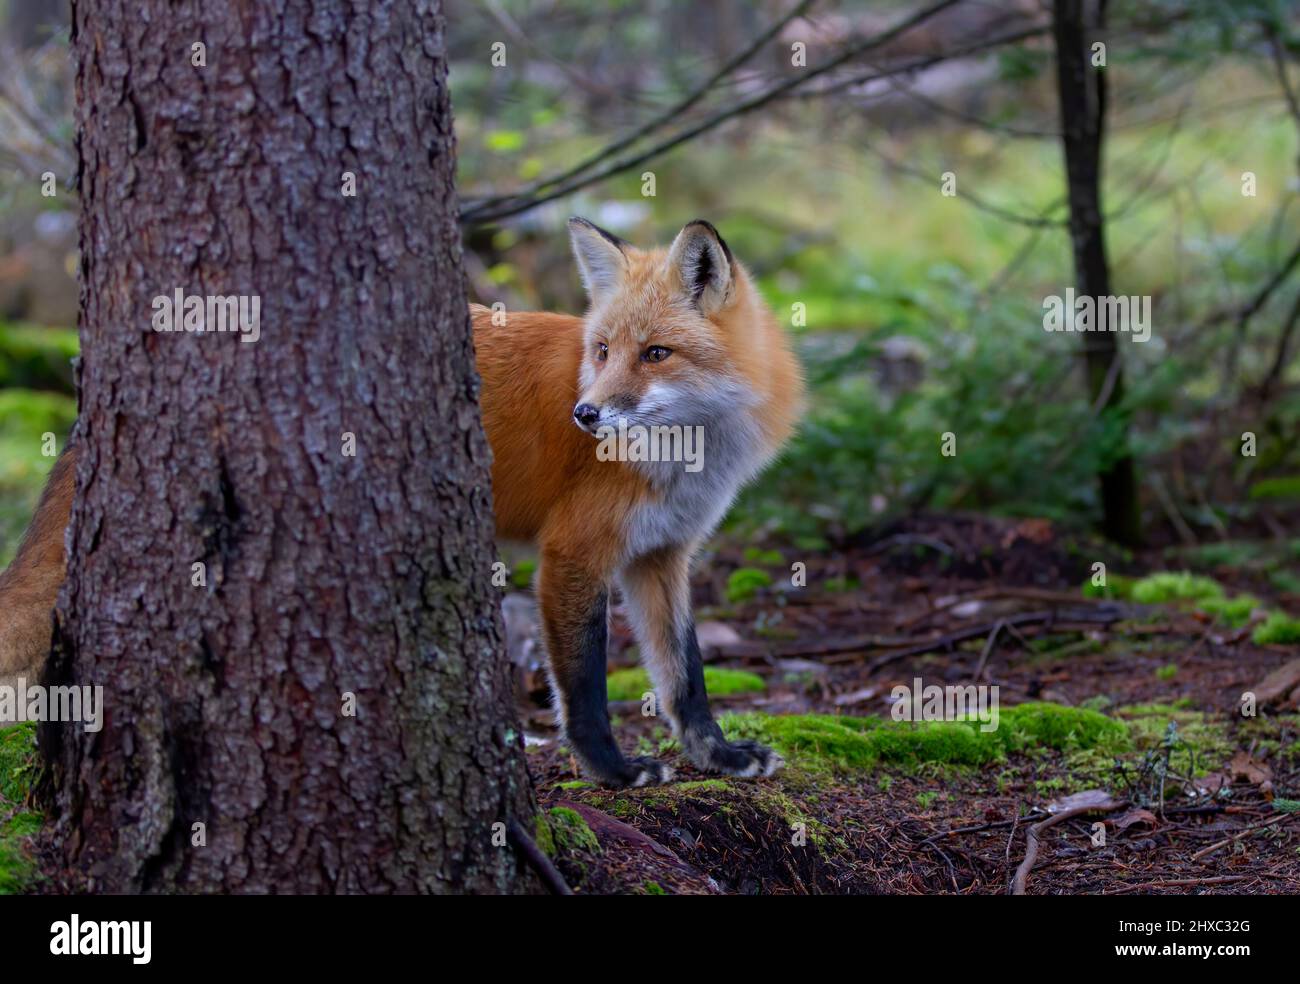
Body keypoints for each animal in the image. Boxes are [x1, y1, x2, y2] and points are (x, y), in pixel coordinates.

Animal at [0, 217, 803, 789]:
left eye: (656, 354)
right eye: (602, 351)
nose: (585, 415)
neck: (691, 457)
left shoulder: (662, 557)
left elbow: (685, 676)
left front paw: (719, 757)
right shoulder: (573, 553)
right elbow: (582, 685)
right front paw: (610, 770)